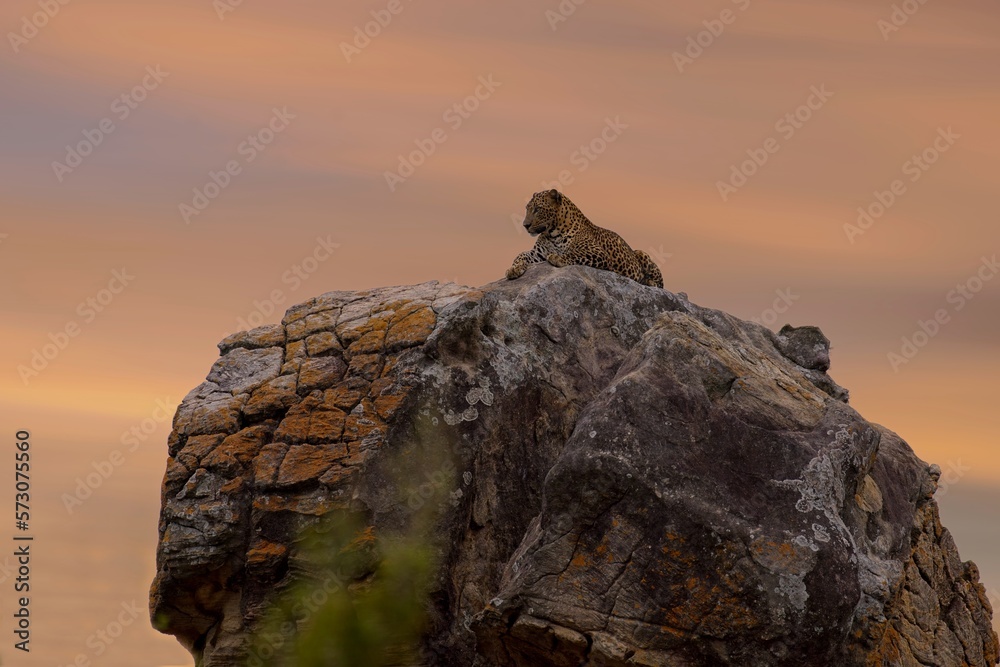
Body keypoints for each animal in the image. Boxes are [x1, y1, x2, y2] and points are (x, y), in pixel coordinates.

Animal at [505, 189, 663, 288]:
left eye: (537, 209)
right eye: (527, 208)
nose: (525, 225)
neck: (552, 232)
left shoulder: (597, 252)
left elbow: (574, 253)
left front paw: (557, 257)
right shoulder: (538, 254)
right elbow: (520, 255)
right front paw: (513, 269)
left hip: (642, 253)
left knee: (660, 284)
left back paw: (648, 282)